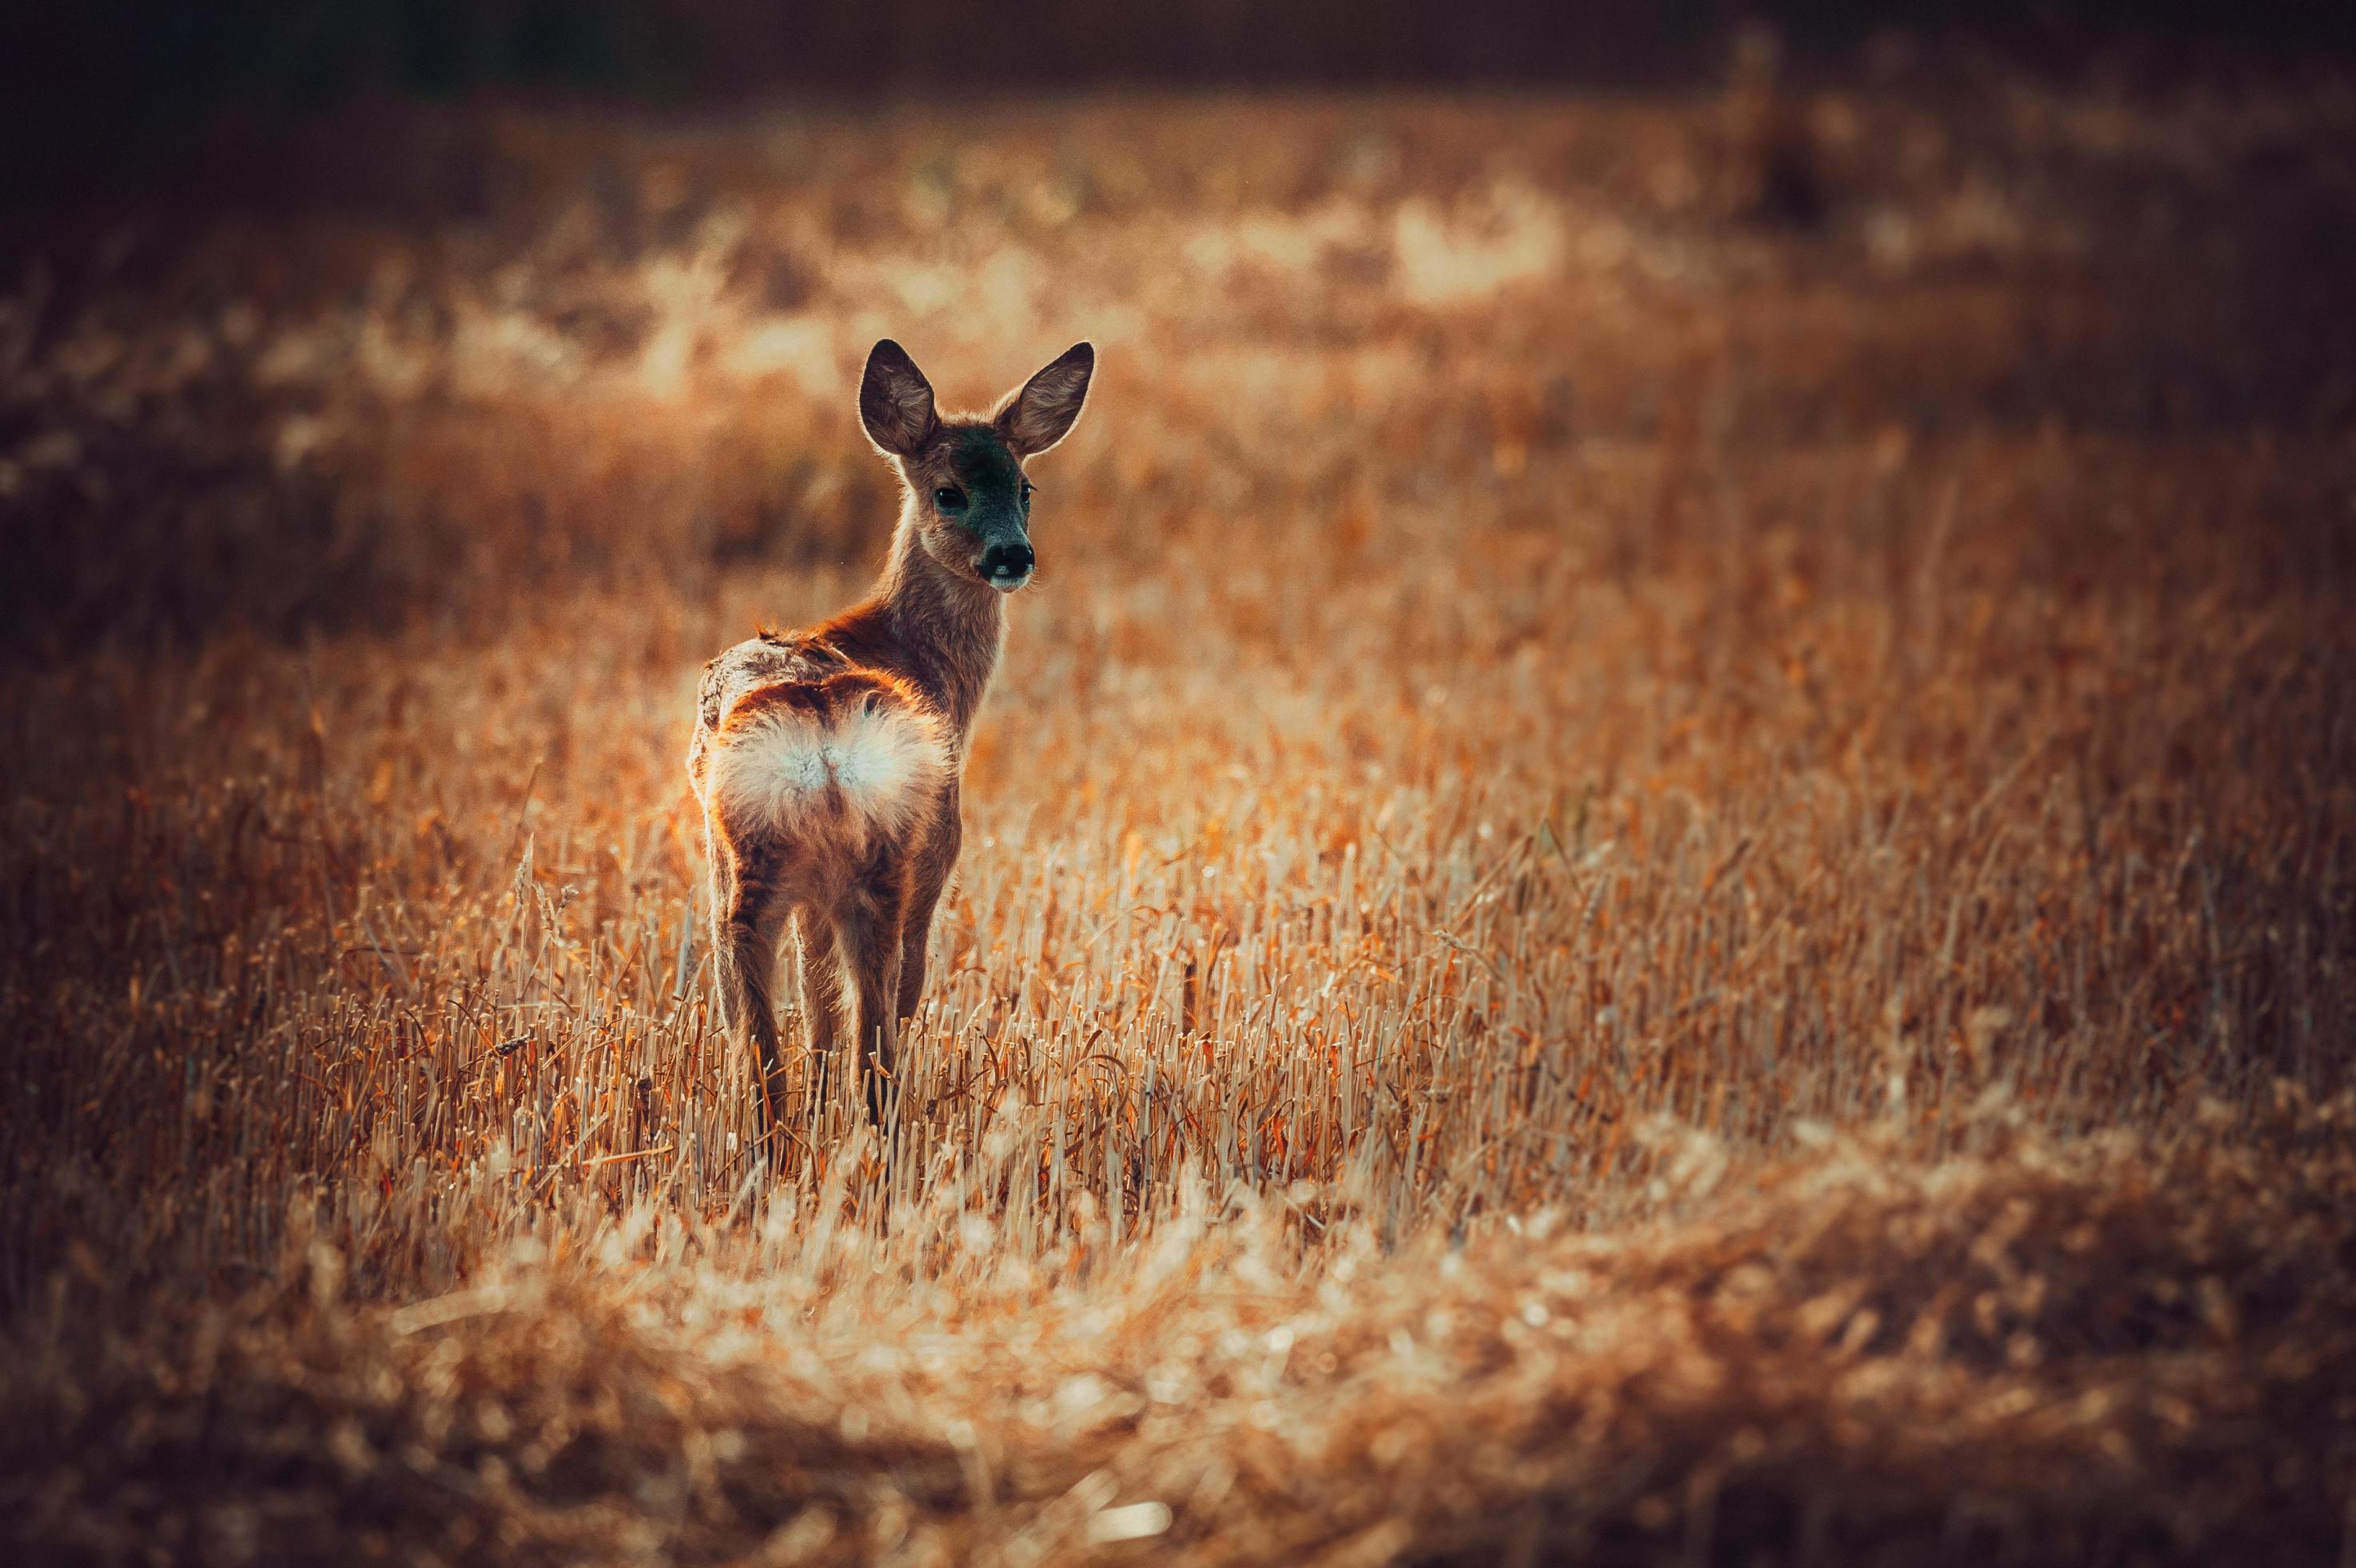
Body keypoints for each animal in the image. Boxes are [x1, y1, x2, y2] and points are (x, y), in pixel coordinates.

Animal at [687, 339, 1094, 1148]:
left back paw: (773, 1147)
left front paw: (818, 1110)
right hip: (888, 856)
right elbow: (894, 998)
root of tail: (818, 731)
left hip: (752, 868)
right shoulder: (941, 851)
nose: (1013, 556)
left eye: (1025, 487)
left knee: (761, 1035)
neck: (918, 660)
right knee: (878, 1025)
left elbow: (817, 1006)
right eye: (947, 492)